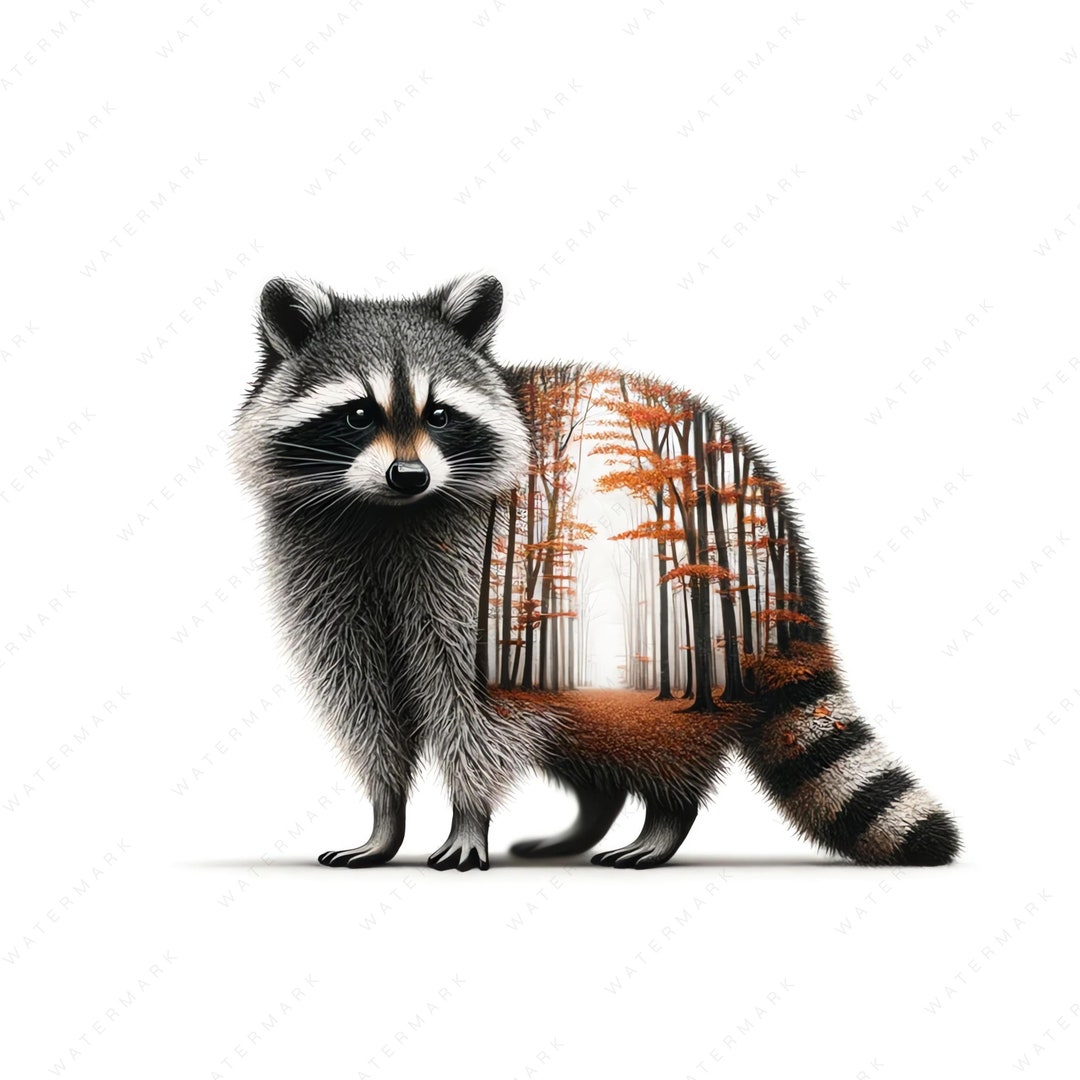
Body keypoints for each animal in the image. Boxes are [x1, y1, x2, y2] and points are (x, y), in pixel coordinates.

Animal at [232, 274, 960, 870]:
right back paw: (592, 818)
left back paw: (666, 817)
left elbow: (473, 712)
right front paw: (385, 816)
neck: (385, 515)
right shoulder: (327, 565)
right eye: (359, 413)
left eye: (439, 414)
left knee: (656, 743)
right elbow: (365, 702)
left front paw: (469, 816)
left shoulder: (480, 574)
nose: (409, 475)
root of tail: (764, 487)